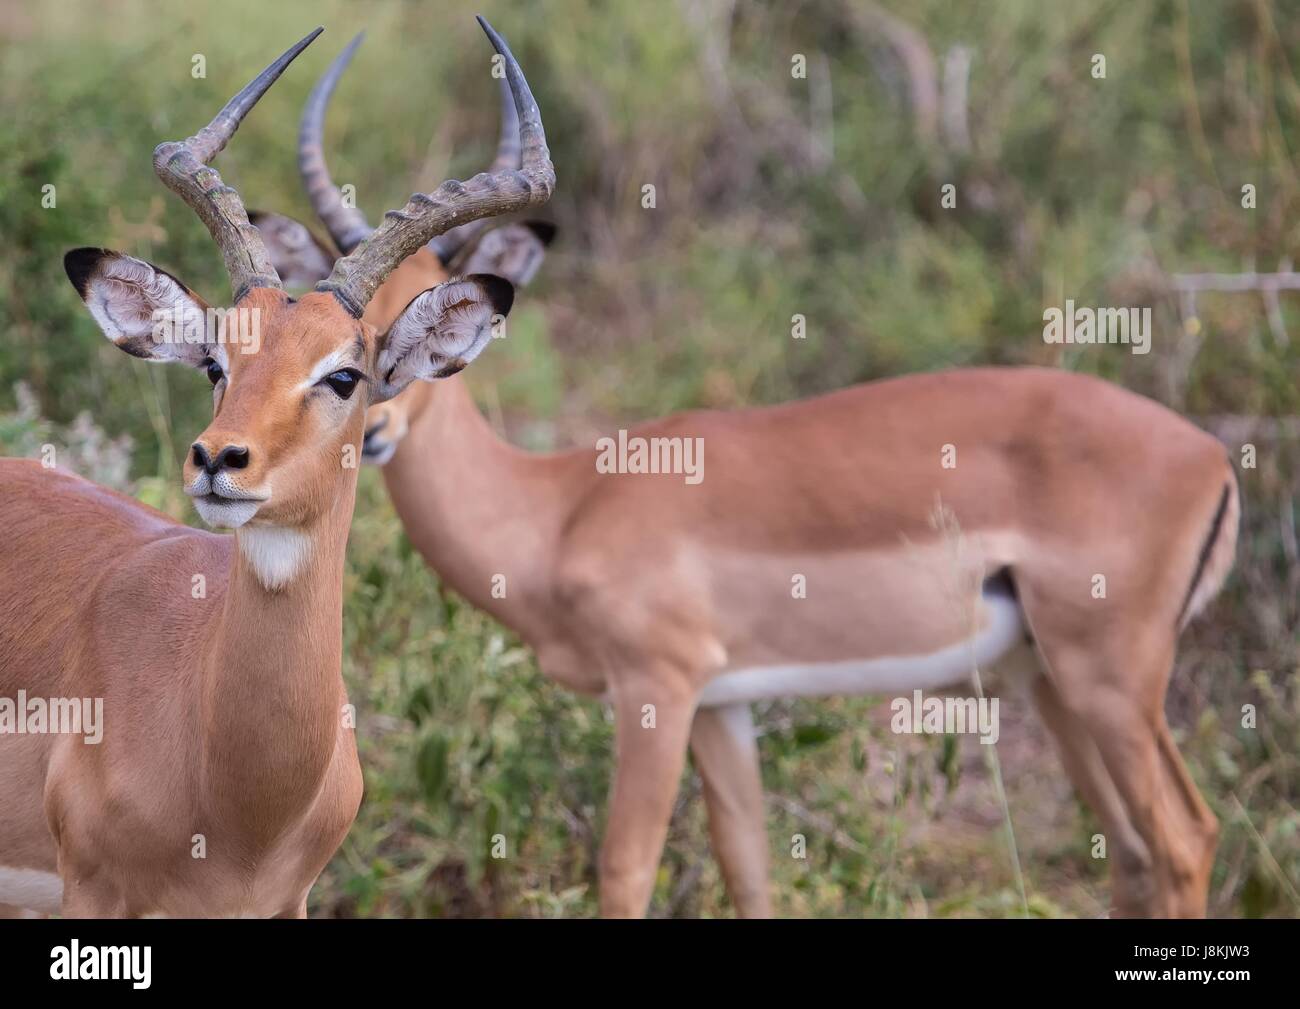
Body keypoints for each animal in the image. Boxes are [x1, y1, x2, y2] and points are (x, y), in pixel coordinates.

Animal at [263, 39, 1238, 921]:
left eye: (418, 330)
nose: (377, 433)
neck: (565, 508)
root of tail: (1213, 458)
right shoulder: (722, 706)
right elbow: (752, 870)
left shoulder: (656, 690)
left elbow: (625, 871)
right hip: (1050, 679)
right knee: (1135, 853)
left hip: (1109, 679)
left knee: (1186, 837)